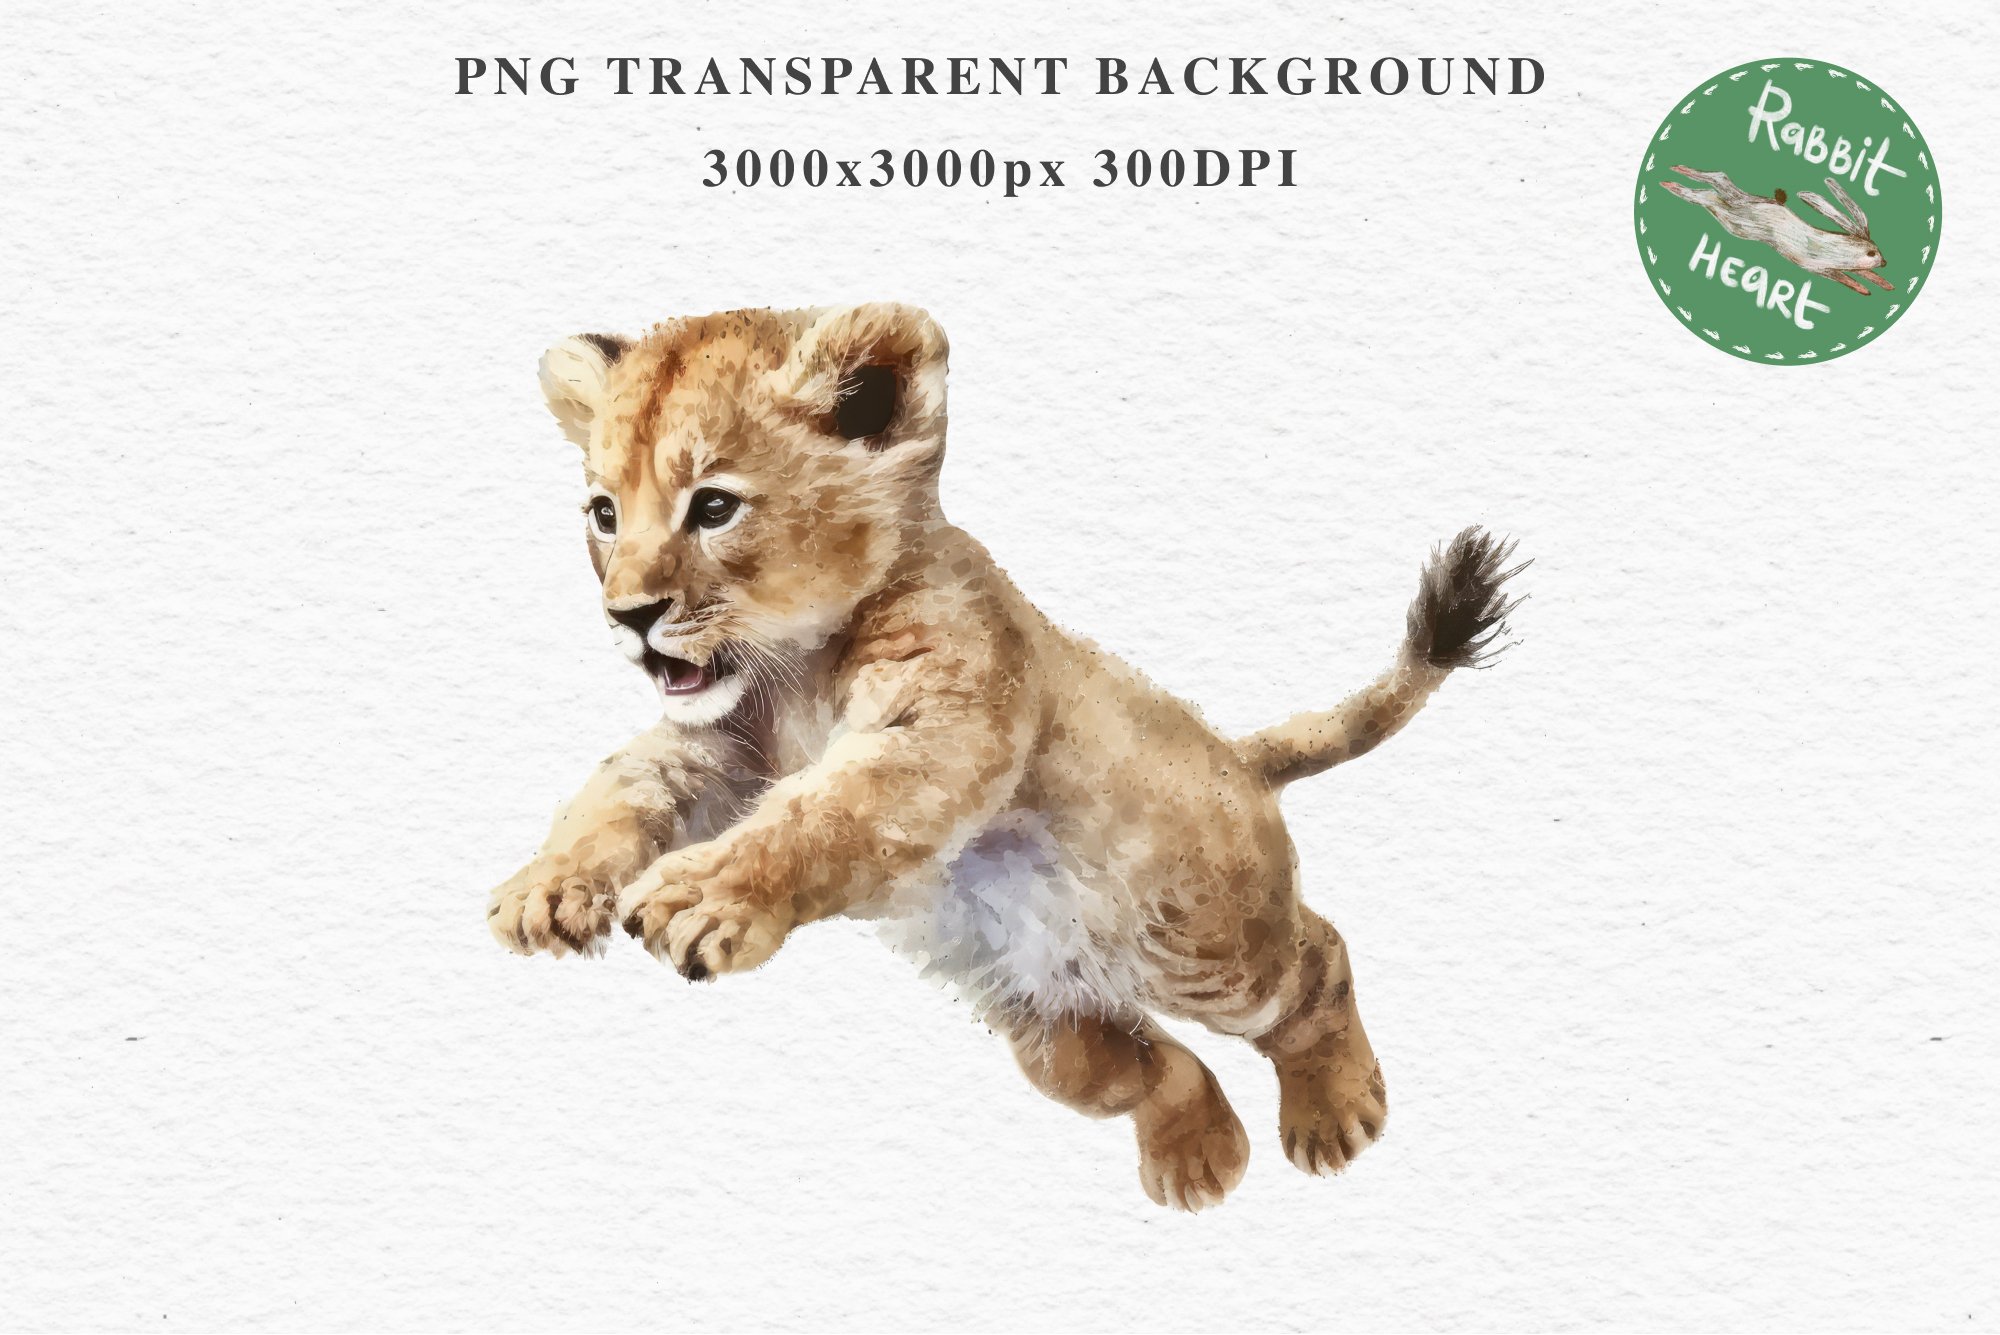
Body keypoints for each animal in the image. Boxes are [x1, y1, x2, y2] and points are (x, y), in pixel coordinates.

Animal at [487, 303, 1525, 1210]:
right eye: (604, 514)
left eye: (713, 506)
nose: (628, 615)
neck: (793, 673)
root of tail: (1231, 750)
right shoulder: (717, 748)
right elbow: (618, 789)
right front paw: (546, 890)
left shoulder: (948, 719)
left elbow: (832, 806)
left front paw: (702, 899)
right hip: (1049, 1026)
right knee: (1151, 1068)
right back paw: (1197, 1158)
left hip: (1210, 946)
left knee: (1315, 962)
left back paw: (1333, 1114)